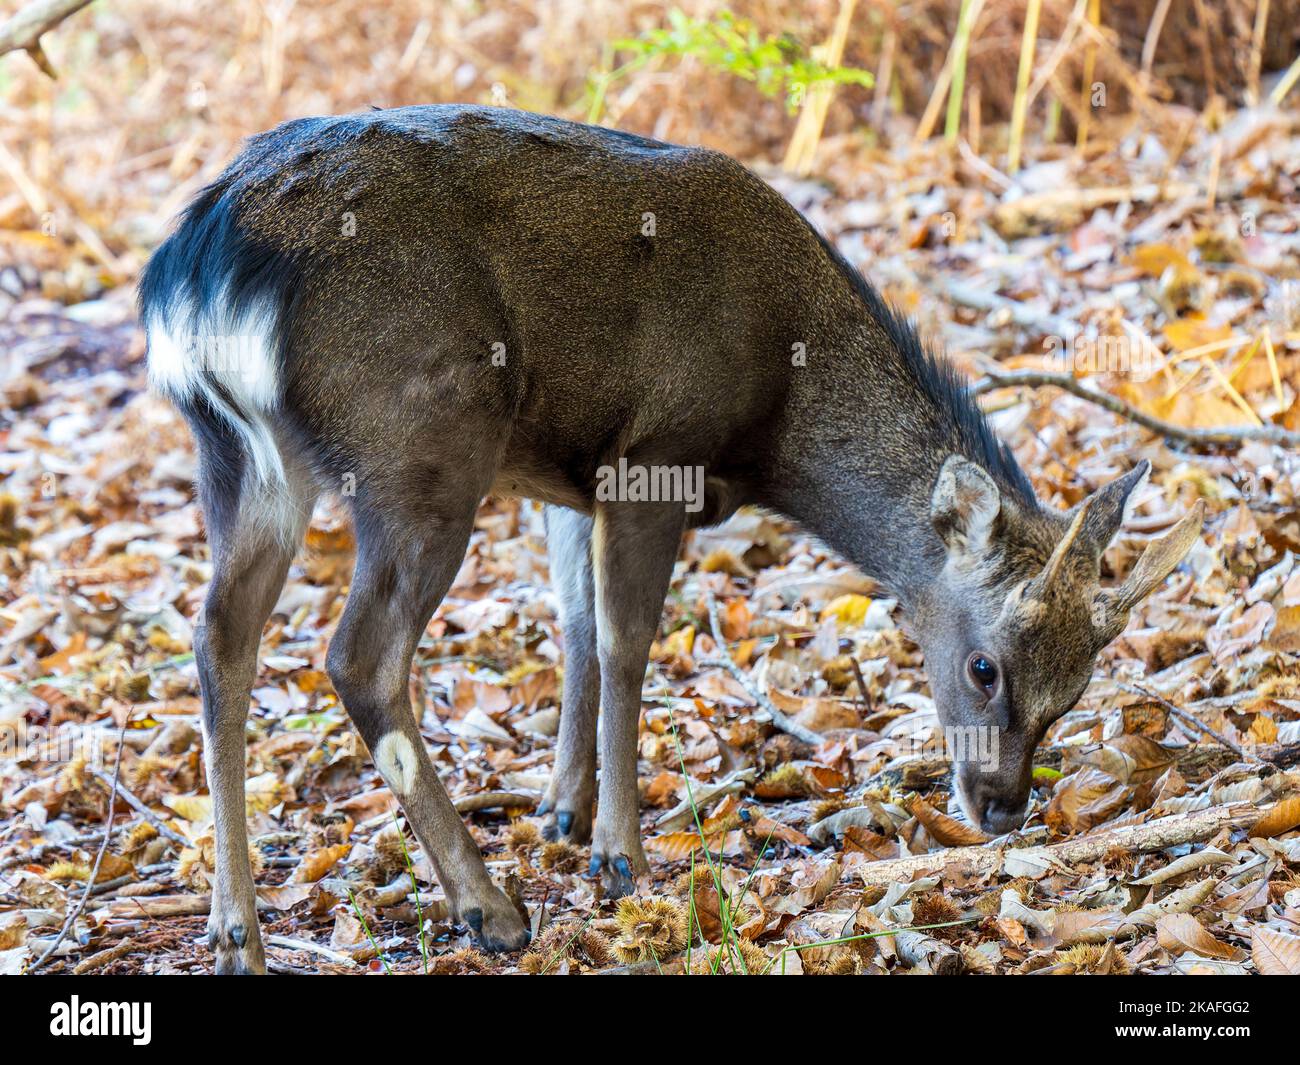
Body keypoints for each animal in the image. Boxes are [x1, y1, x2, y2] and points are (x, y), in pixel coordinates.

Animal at [140, 105, 1204, 973]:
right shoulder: (656, 451)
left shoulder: (567, 473)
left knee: (219, 635)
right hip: (420, 440)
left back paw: (236, 931)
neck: (777, 412)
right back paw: (490, 909)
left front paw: (563, 814)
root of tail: (198, 273)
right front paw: (621, 857)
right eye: (984, 667)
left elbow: (573, 626)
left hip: (243, 458)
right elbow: (625, 642)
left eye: (1076, 692)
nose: (1002, 804)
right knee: (359, 654)